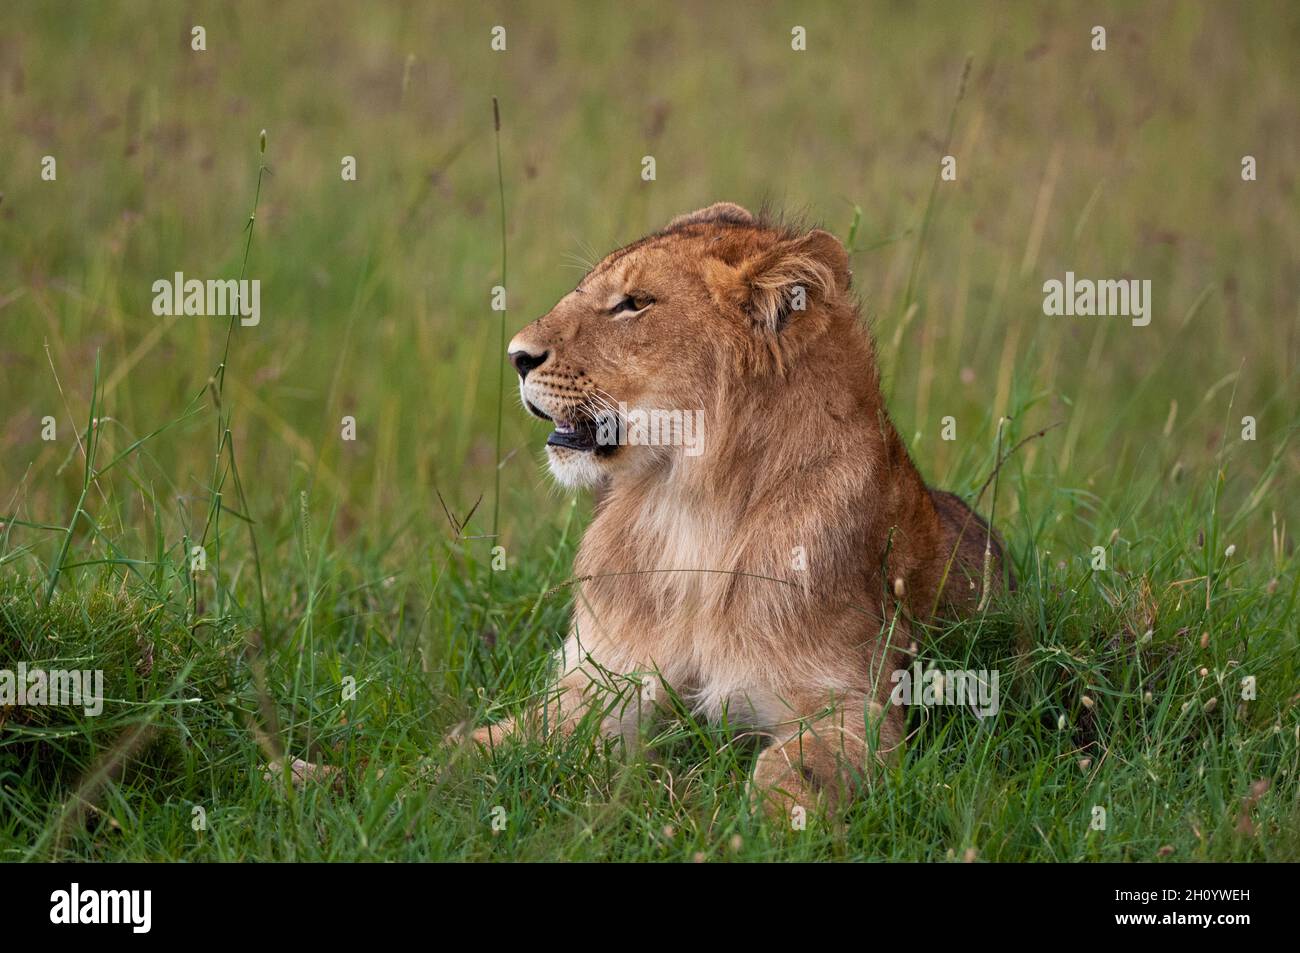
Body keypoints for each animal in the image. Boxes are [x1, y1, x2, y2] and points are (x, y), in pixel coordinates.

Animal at [460, 202, 1011, 817]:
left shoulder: (854, 699)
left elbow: (799, 767)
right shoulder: (601, 684)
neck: (688, 512)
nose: (516, 356)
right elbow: (502, 738)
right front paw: (438, 774)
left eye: (634, 303)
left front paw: (757, 821)